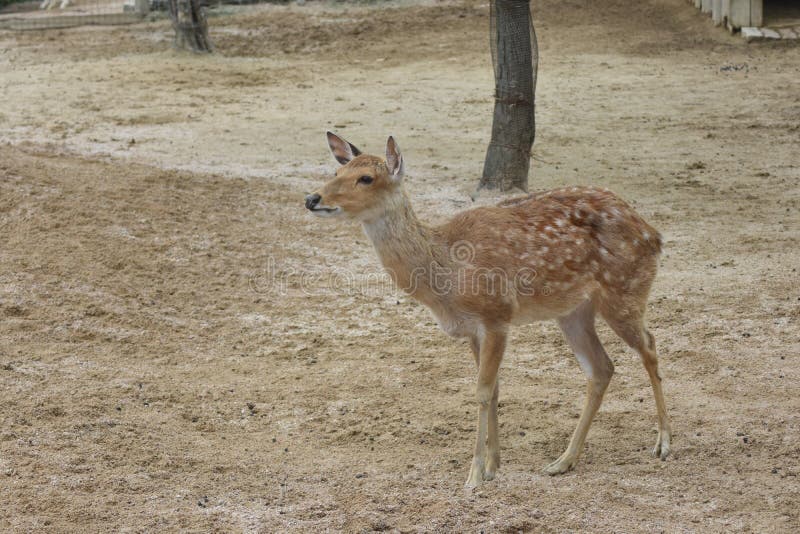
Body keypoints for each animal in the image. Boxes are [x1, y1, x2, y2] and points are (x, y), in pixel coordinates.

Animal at [305, 132, 671, 487]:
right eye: (336, 171)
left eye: (366, 178)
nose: (312, 198)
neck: (448, 275)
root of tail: (654, 235)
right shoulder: (471, 329)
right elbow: (494, 390)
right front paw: (494, 465)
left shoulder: (497, 315)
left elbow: (481, 392)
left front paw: (474, 475)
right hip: (573, 311)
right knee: (601, 368)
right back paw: (563, 461)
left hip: (624, 291)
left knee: (650, 346)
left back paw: (663, 442)